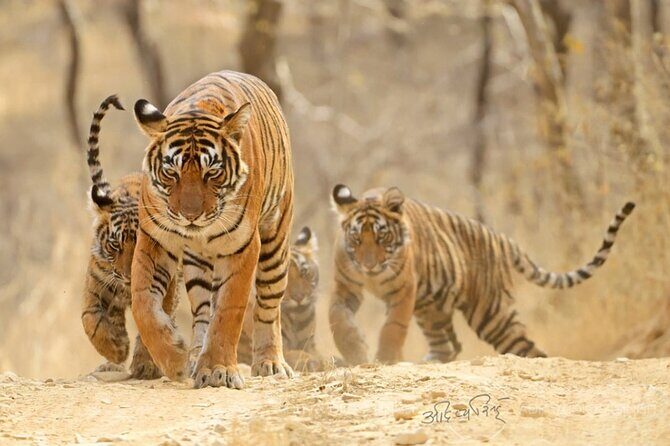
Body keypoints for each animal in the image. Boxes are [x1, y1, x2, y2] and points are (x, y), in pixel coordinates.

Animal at [81, 94, 180, 379]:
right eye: (115, 245)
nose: (127, 276)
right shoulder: (96, 282)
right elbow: (90, 317)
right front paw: (115, 349)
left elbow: (155, 322)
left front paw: (145, 365)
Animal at [130, 70, 294, 389]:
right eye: (171, 172)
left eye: (213, 172)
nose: (190, 216)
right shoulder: (155, 239)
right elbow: (142, 302)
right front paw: (175, 359)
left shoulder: (244, 245)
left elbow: (229, 311)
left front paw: (219, 370)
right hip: (197, 266)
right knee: (203, 312)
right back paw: (195, 357)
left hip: (275, 244)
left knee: (269, 307)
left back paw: (270, 362)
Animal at [328, 184, 635, 365]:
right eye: (356, 239)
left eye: (382, 237)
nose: (369, 266)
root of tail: (502, 239)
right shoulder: (346, 286)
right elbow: (338, 319)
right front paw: (355, 351)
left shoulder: (403, 291)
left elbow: (393, 327)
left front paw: (385, 358)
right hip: (432, 311)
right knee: (449, 346)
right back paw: (431, 362)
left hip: (490, 314)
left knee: (529, 348)